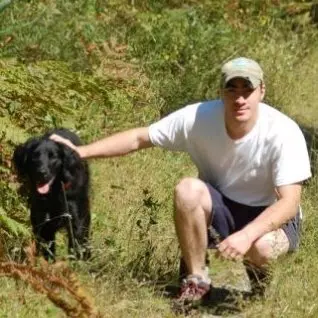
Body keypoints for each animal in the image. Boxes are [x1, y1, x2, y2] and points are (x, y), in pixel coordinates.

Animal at [12, 129, 90, 260]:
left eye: (53, 157)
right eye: (35, 156)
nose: (41, 173)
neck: (55, 192)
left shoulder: (77, 220)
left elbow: (76, 246)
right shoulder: (44, 222)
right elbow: (48, 251)